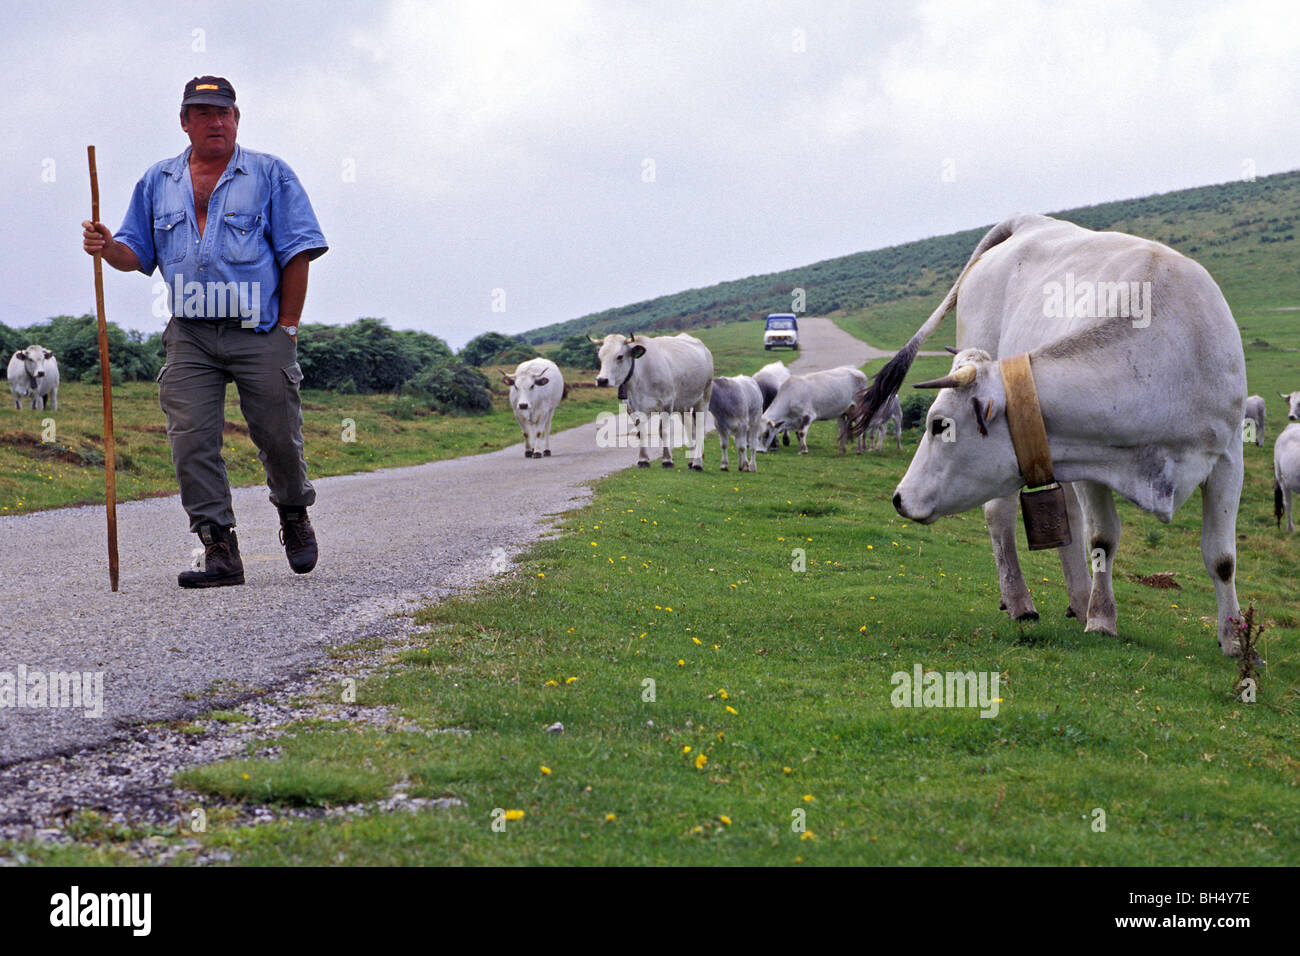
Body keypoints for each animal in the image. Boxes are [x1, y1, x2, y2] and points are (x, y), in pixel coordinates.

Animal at [590, 332, 714, 470]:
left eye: (619, 356)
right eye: (600, 357)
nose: (601, 380)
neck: (641, 375)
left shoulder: (667, 404)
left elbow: (663, 431)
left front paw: (667, 460)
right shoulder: (633, 408)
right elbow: (641, 432)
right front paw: (643, 460)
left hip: (704, 397)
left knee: (700, 430)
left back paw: (697, 463)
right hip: (684, 405)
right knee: (690, 430)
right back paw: (691, 461)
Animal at [850, 213, 1247, 656]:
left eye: (940, 424)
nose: (899, 498)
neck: (1166, 361)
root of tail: (1025, 222)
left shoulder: (1230, 457)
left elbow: (1222, 557)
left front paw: (1234, 638)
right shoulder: (1094, 461)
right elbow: (1102, 539)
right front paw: (1102, 618)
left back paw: (1077, 598)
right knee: (1001, 513)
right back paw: (1023, 601)